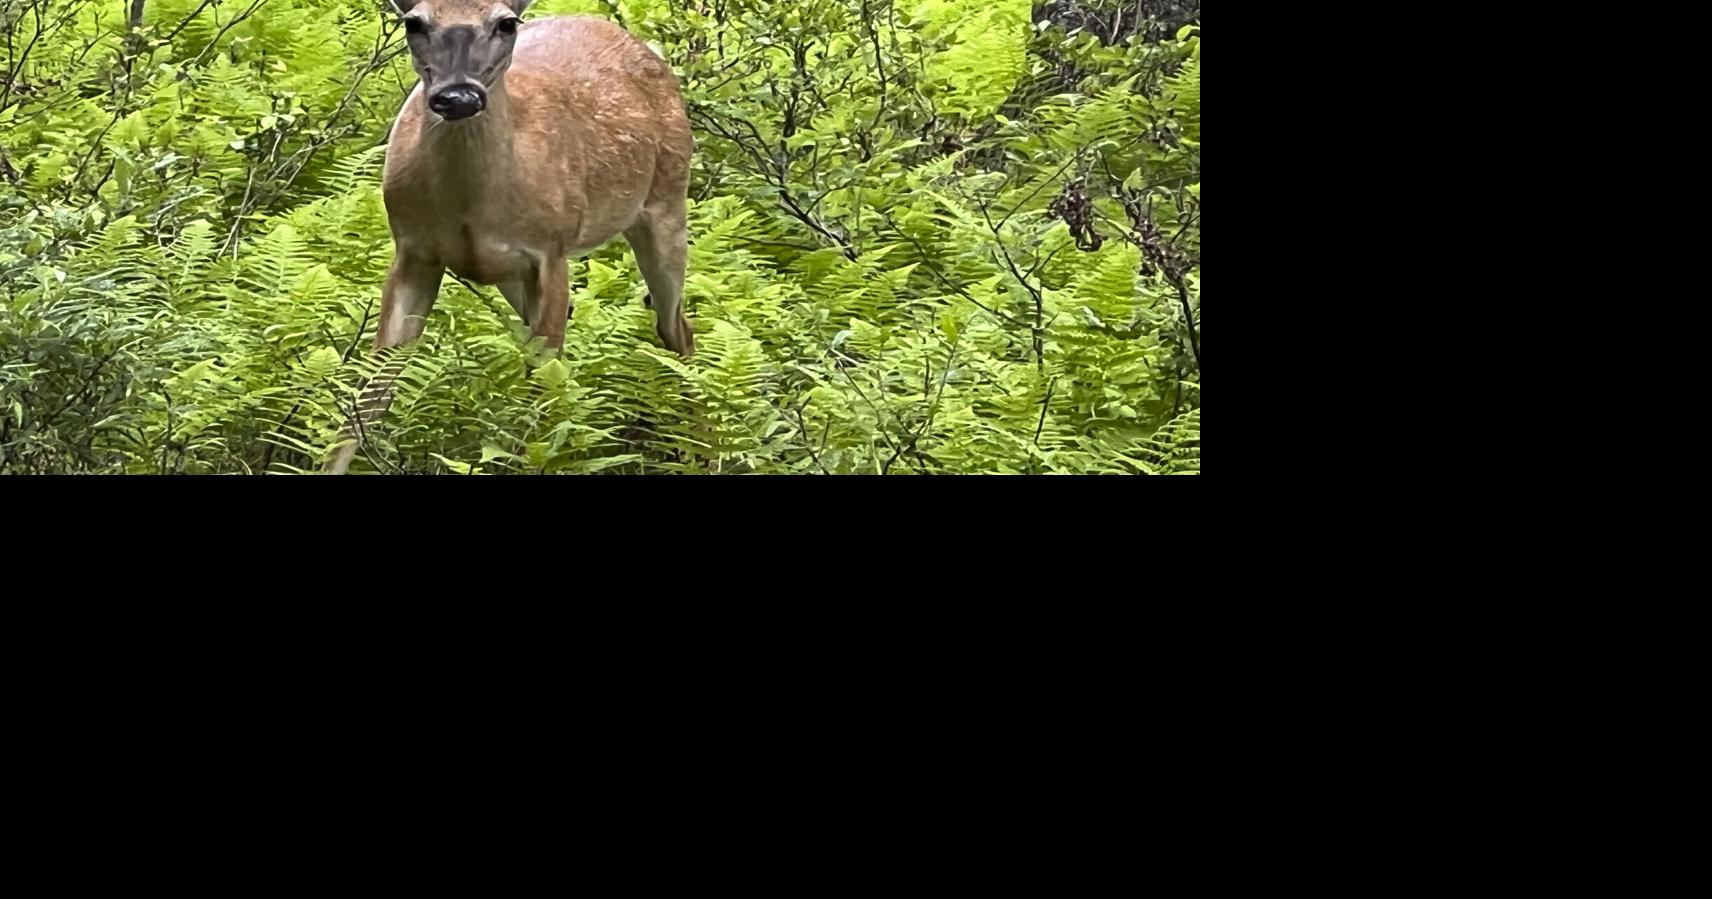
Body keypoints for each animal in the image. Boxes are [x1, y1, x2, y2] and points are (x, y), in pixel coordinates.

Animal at [324, 0, 695, 474]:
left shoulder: (552, 251)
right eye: (413, 22)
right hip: (511, 276)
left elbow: (538, 392)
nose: (457, 96)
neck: (471, 208)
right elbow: (367, 393)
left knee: (677, 328)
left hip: (667, 204)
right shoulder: (412, 250)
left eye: (505, 22)